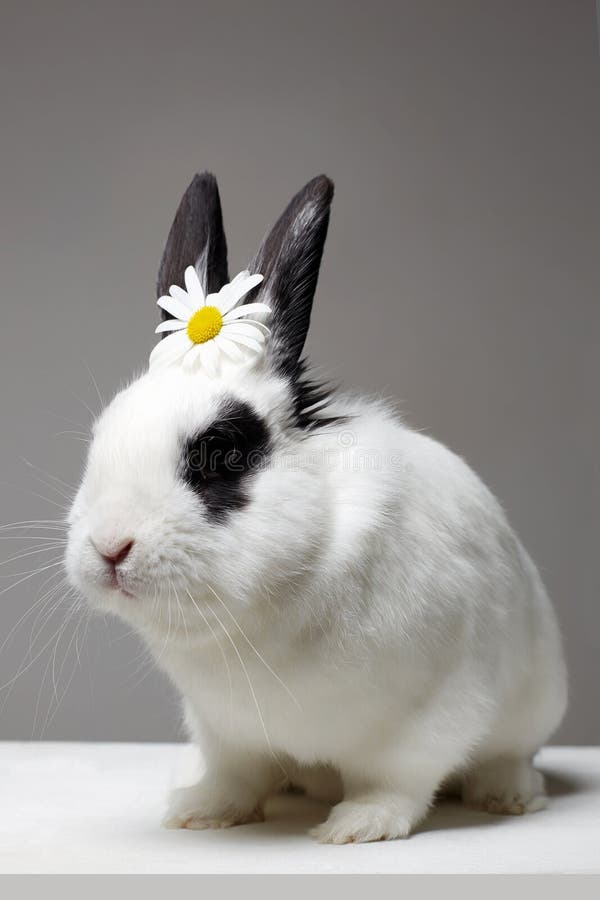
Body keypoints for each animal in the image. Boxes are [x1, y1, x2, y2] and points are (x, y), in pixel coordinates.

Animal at [65, 172, 567, 844]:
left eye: (222, 454)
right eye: (100, 438)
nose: (109, 546)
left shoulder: (430, 716)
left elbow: (396, 783)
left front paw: (357, 827)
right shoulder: (226, 731)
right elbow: (235, 777)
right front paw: (199, 811)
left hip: (529, 706)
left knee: (509, 757)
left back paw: (507, 797)